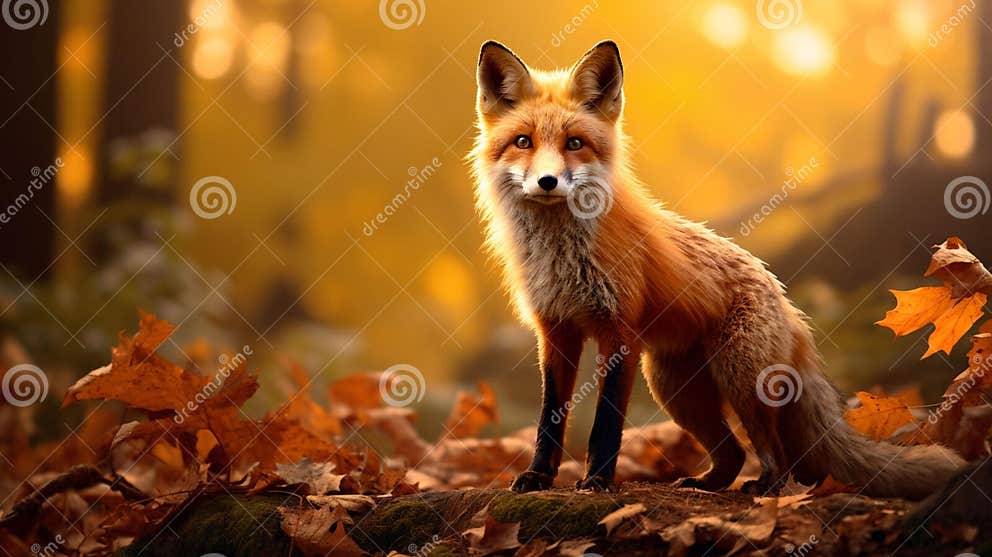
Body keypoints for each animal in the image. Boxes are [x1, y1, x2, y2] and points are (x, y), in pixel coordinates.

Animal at [469, 40, 966, 499]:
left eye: (574, 143)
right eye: (523, 142)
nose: (547, 181)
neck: (561, 254)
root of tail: (787, 302)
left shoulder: (618, 331)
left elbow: (606, 423)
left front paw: (598, 482)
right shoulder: (555, 331)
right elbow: (549, 419)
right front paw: (538, 476)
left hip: (739, 378)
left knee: (773, 453)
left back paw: (766, 487)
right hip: (675, 389)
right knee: (733, 452)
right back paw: (708, 483)